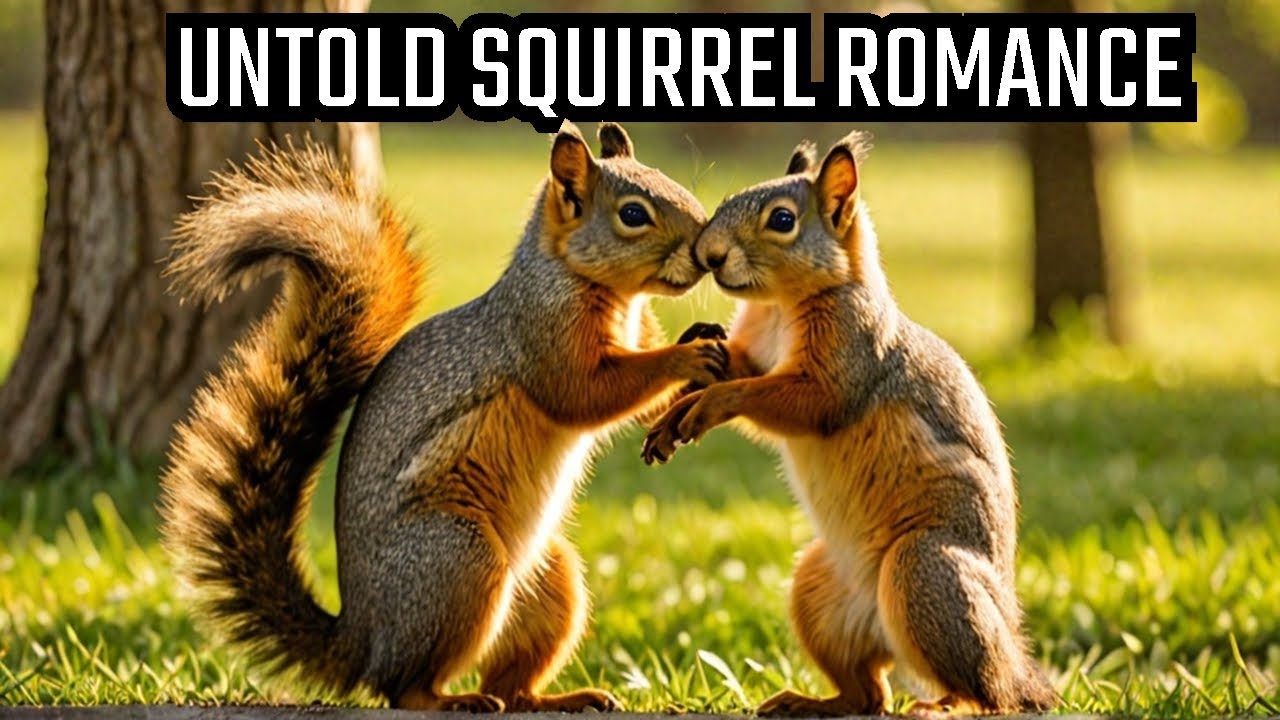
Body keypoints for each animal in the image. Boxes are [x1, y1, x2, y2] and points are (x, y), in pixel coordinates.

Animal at [159, 122, 726, 712]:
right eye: (633, 214)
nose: (705, 252)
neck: (601, 290)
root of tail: (362, 640)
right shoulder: (541, 338)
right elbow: (586, 395)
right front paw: (685, 357)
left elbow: (643, 399)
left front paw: (697, 359)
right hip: (457, 561)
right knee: (404, 690)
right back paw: (451, 699)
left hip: (548, 580)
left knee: (511, 688)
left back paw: (563, 699)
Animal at [641, 134, 1059, 717]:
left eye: (783, 219)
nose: (710, 254)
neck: (781, 304)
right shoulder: (756, 354)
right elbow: (735, 372)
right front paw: (674, 409)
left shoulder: (844, 365)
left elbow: (788, 400)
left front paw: (706, 407)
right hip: (817, 593)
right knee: (867, 693)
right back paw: (807, 701)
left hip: (927, 572)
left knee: (988, 693)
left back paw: (945, 704)